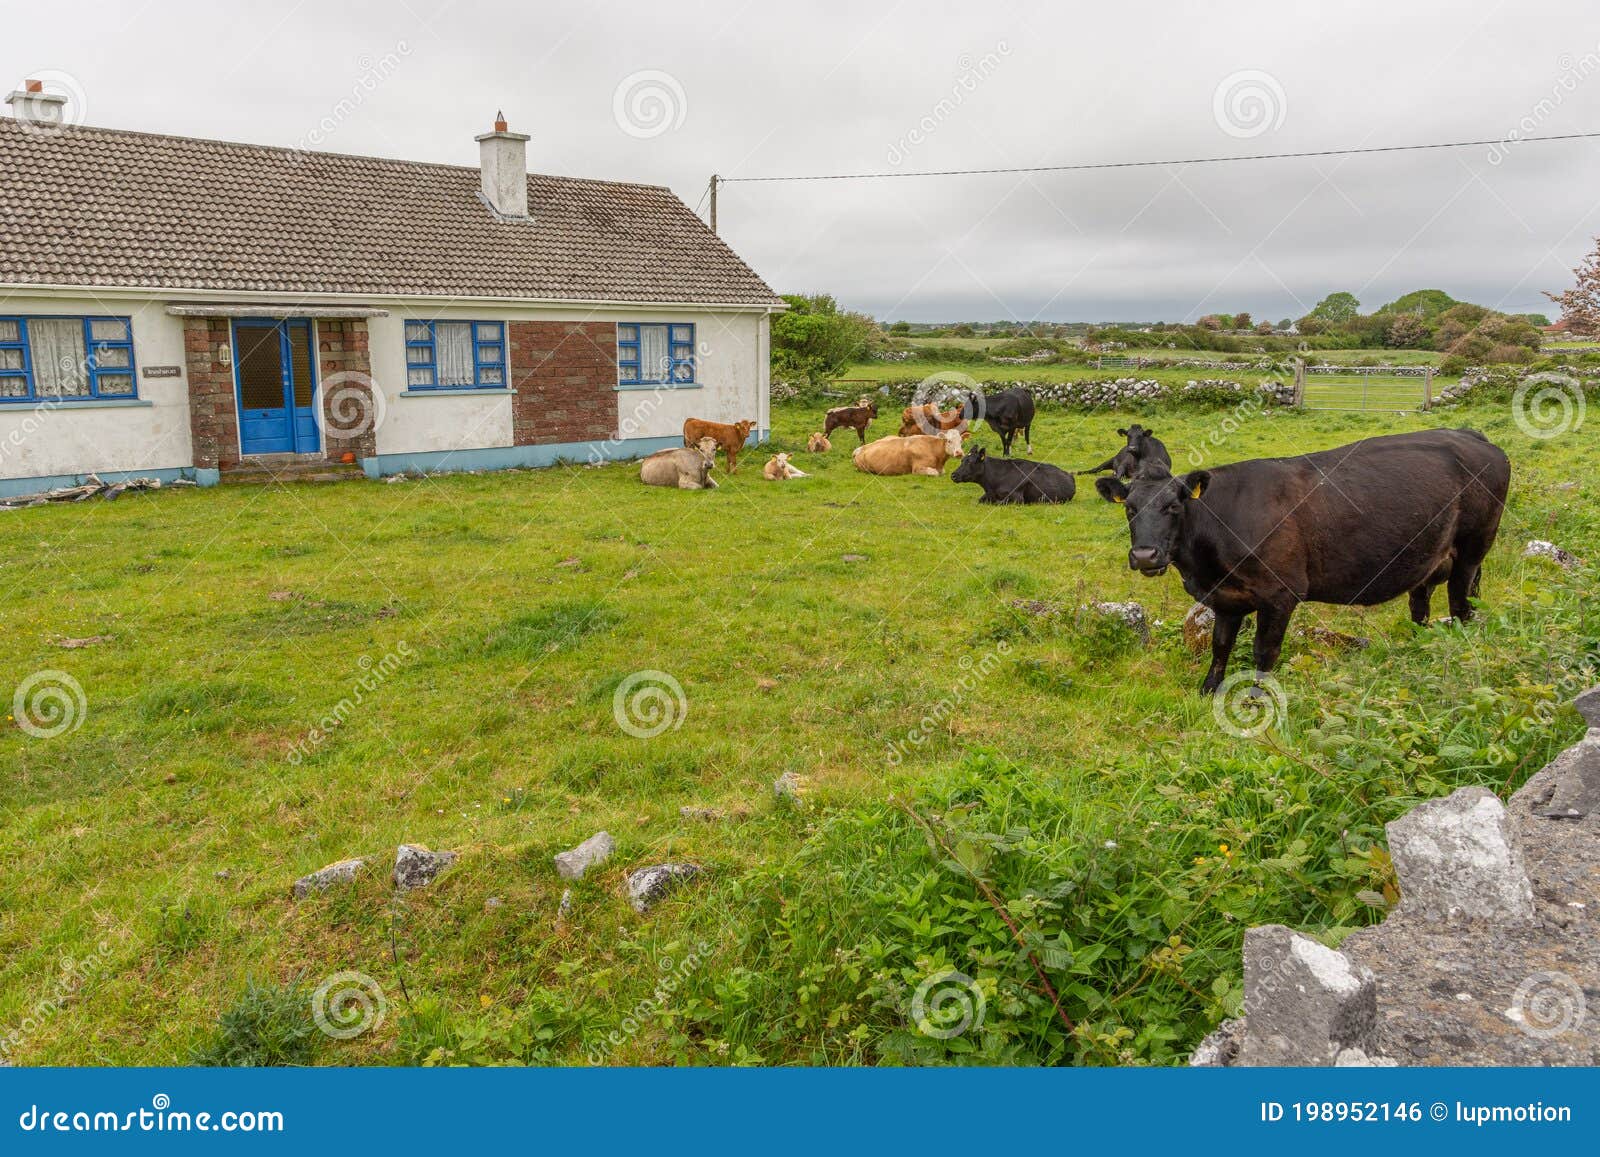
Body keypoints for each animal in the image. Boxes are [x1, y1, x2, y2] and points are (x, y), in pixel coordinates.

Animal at [1093, 429, 1510, 695]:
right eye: (1130, 508)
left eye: (1174, 506)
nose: (1145, 554)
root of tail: (1471, 436)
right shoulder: (1226, 597)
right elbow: (1220, 645)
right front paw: (1209, 689)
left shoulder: (1280, 594)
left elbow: (1265, 652)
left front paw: (1256, 698)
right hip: (1429, 555)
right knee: (1420, 605)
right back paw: (1417, 650)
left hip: (1472, 551)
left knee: (1461, 606)